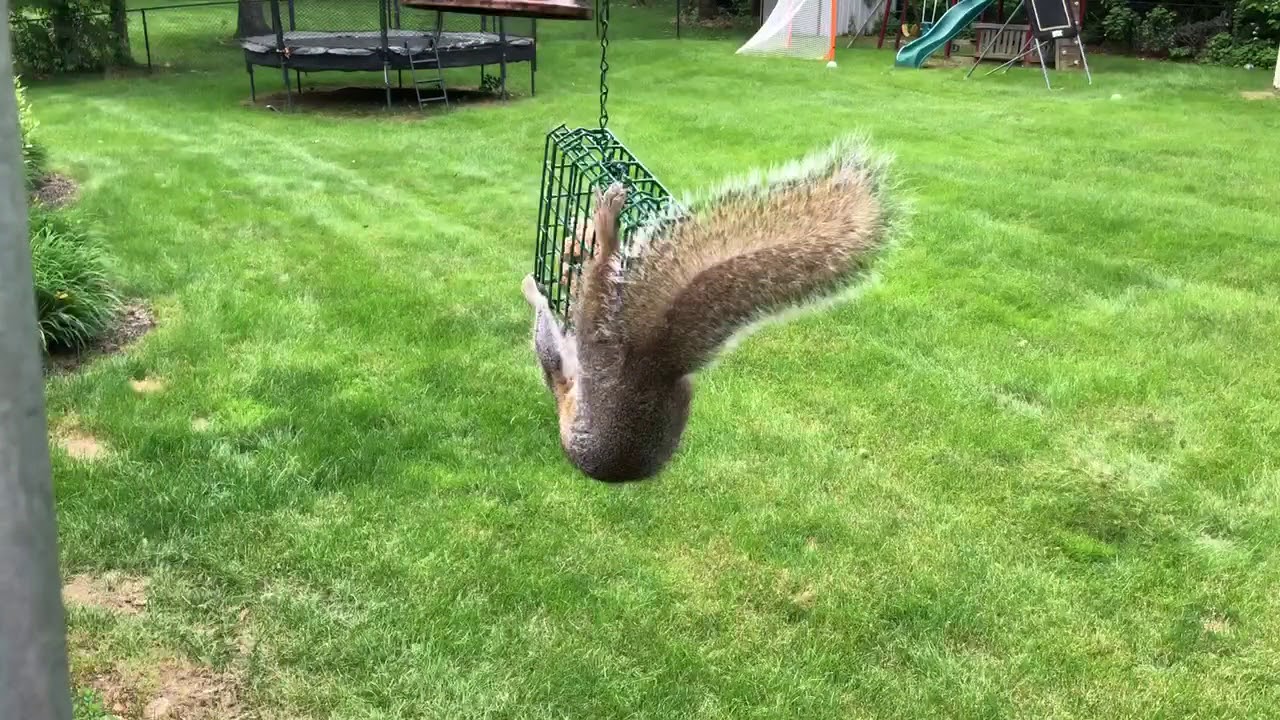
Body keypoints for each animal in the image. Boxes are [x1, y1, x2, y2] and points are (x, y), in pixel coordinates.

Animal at [521, 135, 903, 482]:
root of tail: (650, 363)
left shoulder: (557, 368)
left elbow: (547, 338)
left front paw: (541, 282)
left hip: (593, 350)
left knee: (595, 282)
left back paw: (602, 231)